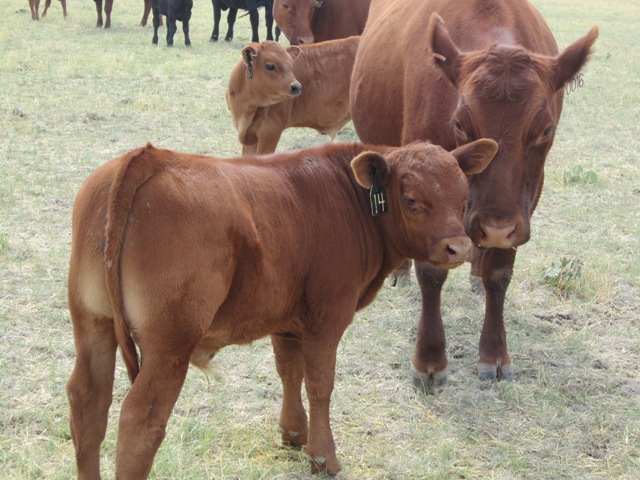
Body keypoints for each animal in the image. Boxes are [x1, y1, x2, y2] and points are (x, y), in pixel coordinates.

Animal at [66, 139, 498, 478]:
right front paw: (323, 457)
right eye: (411, 200)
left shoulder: (285, 319)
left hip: (92, 323)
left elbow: (289, 372)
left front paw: (293, 434)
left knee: (88, 402)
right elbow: (319, 383)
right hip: (170, 342)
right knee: (141, 419)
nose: (460, 248)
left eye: (464, 196)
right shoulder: (328, 316)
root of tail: (145, 158)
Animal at [350, 0, 599, 390]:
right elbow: (431, 273)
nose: (494, 225)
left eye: (546, 129)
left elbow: (499, 273)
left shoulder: (523, 207)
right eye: (459, 124)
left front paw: (495, 354)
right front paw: (430, 360)